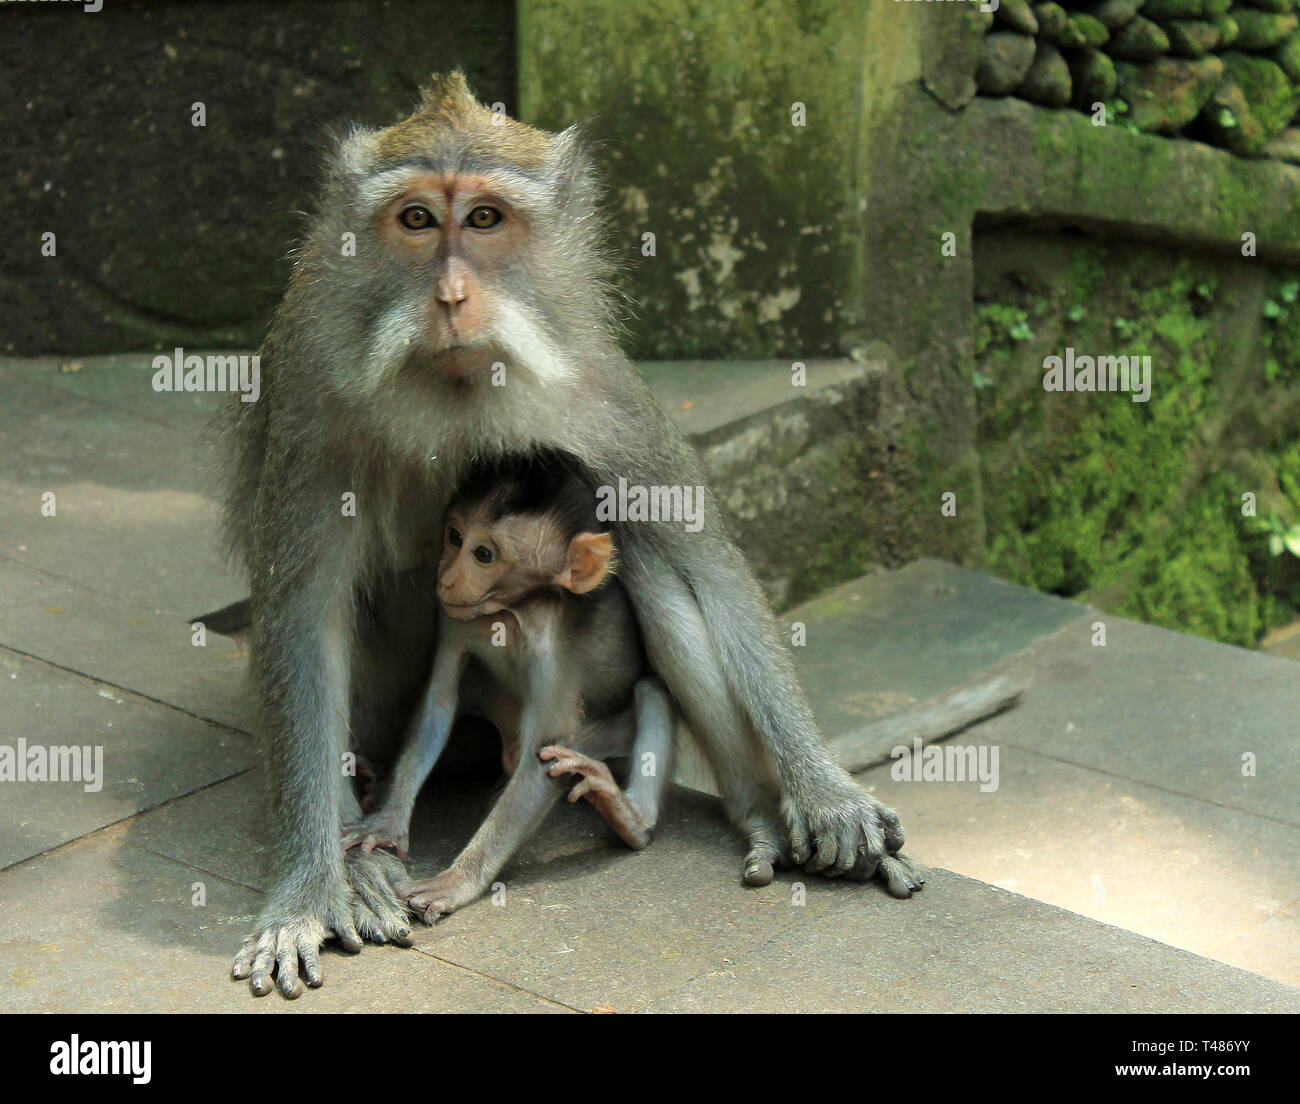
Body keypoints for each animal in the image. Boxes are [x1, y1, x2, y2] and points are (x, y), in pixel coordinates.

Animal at [340, 452, 673, 920]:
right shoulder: (458, 619)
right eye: (455, 536)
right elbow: (437, 704)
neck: (513, 609)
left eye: (484, 554)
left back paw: (629, 817)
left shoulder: (552, 654)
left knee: (651, 693)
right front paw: (385, 823)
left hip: (607, 736)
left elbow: (543, 758)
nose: (446, 578)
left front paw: (455, 882)